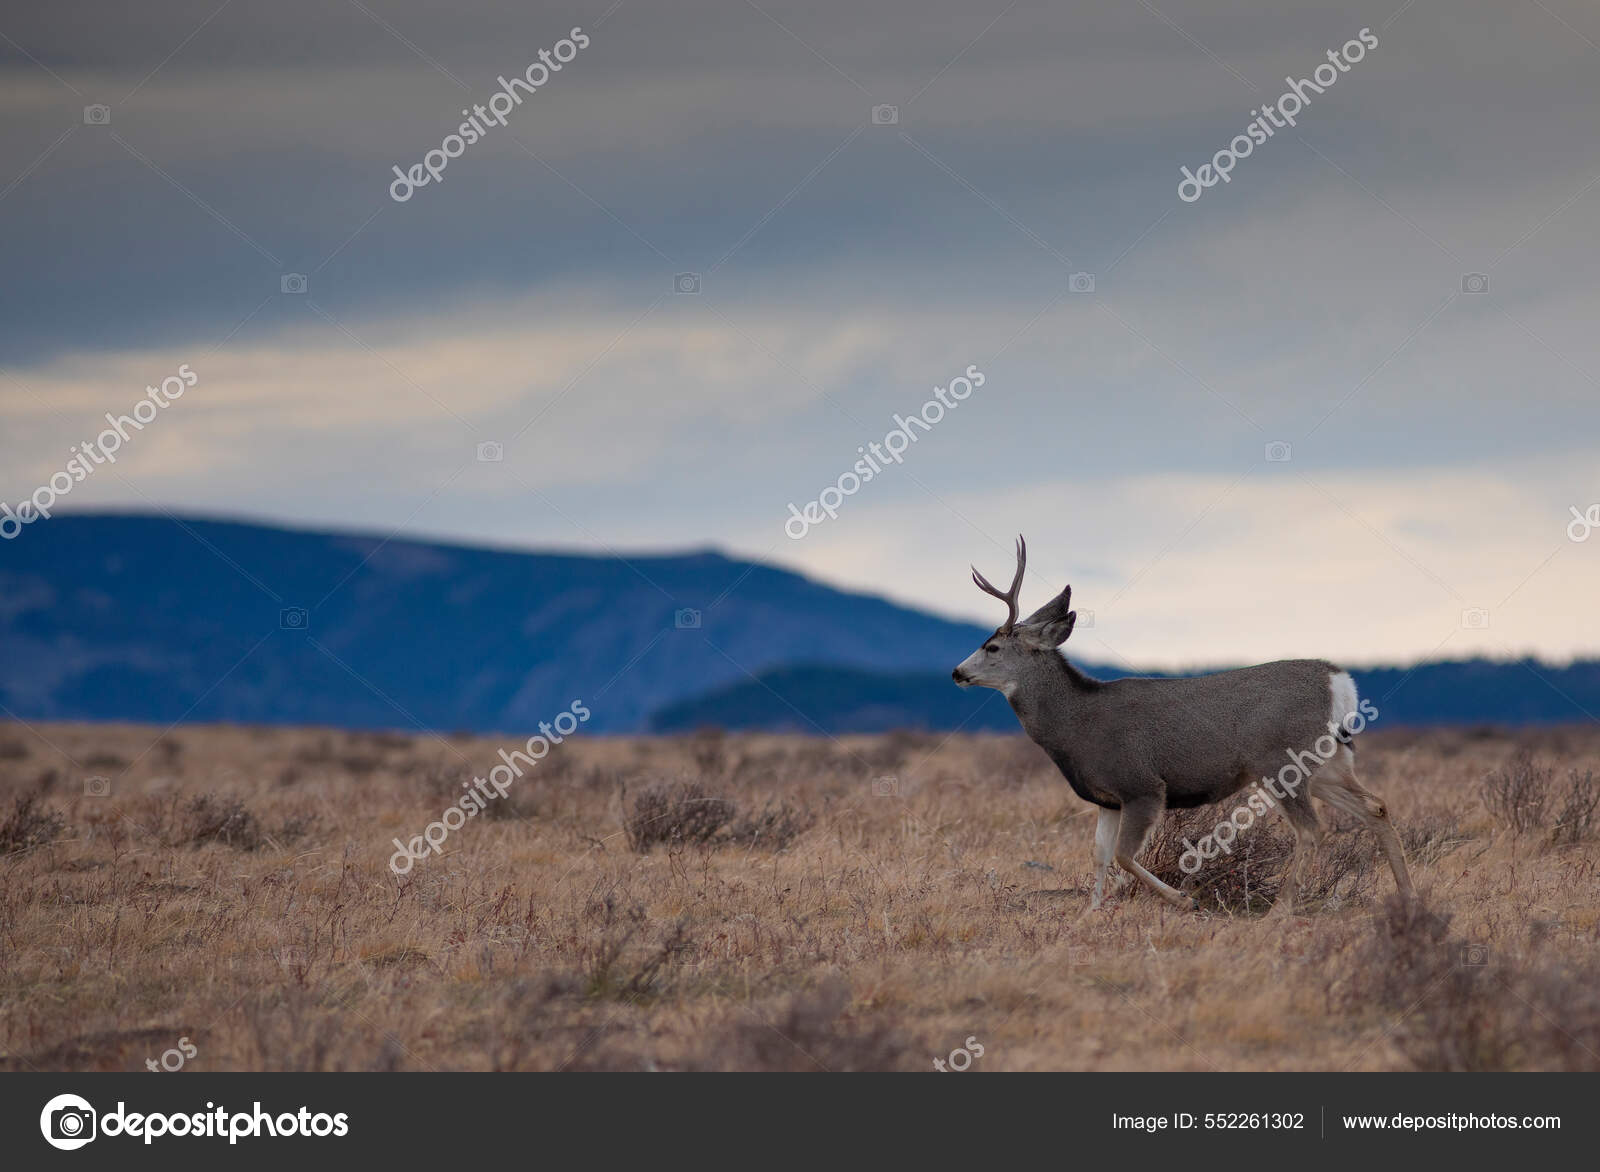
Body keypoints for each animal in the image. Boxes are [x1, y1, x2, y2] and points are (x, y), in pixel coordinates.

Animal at [950, 537, 1415, 916]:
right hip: (1325, 761)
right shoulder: (1107, 798)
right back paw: (1408, 895)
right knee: (1375, 806)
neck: (1076, 725)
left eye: (992, 646)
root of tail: (1339, 682)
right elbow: (1098, 854)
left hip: (1280, 761)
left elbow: (1123, 856)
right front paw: (1089, 915)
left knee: (1313, 830)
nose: (956, 672)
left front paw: (1184, 899)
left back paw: (1279, 912)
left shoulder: (1142, 785)